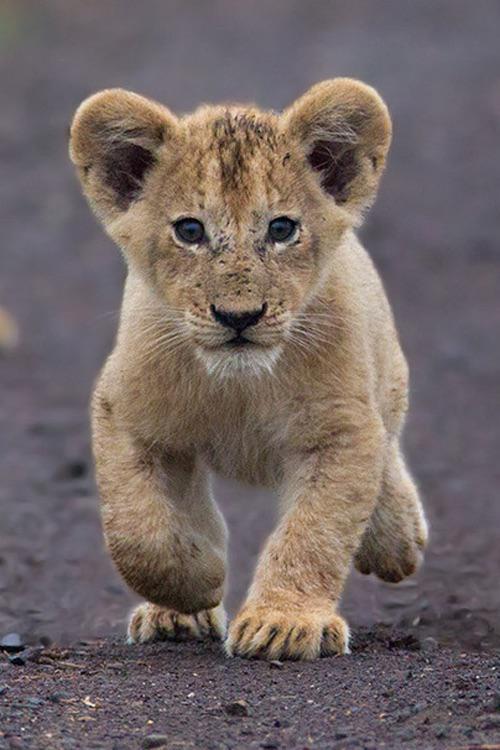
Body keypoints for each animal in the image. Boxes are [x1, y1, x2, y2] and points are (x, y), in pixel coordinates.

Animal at [69, 79, 428, 660]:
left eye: (281, 228)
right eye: (190, 230)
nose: (239, 316)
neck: (241, 384)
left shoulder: (342, 429)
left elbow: (315, 531)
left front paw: (283, 623)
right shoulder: (124, 413)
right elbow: (138, 533)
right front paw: (200, 581)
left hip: (387, 375)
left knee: (388, 443)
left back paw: (396, 540)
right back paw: (176, 613)